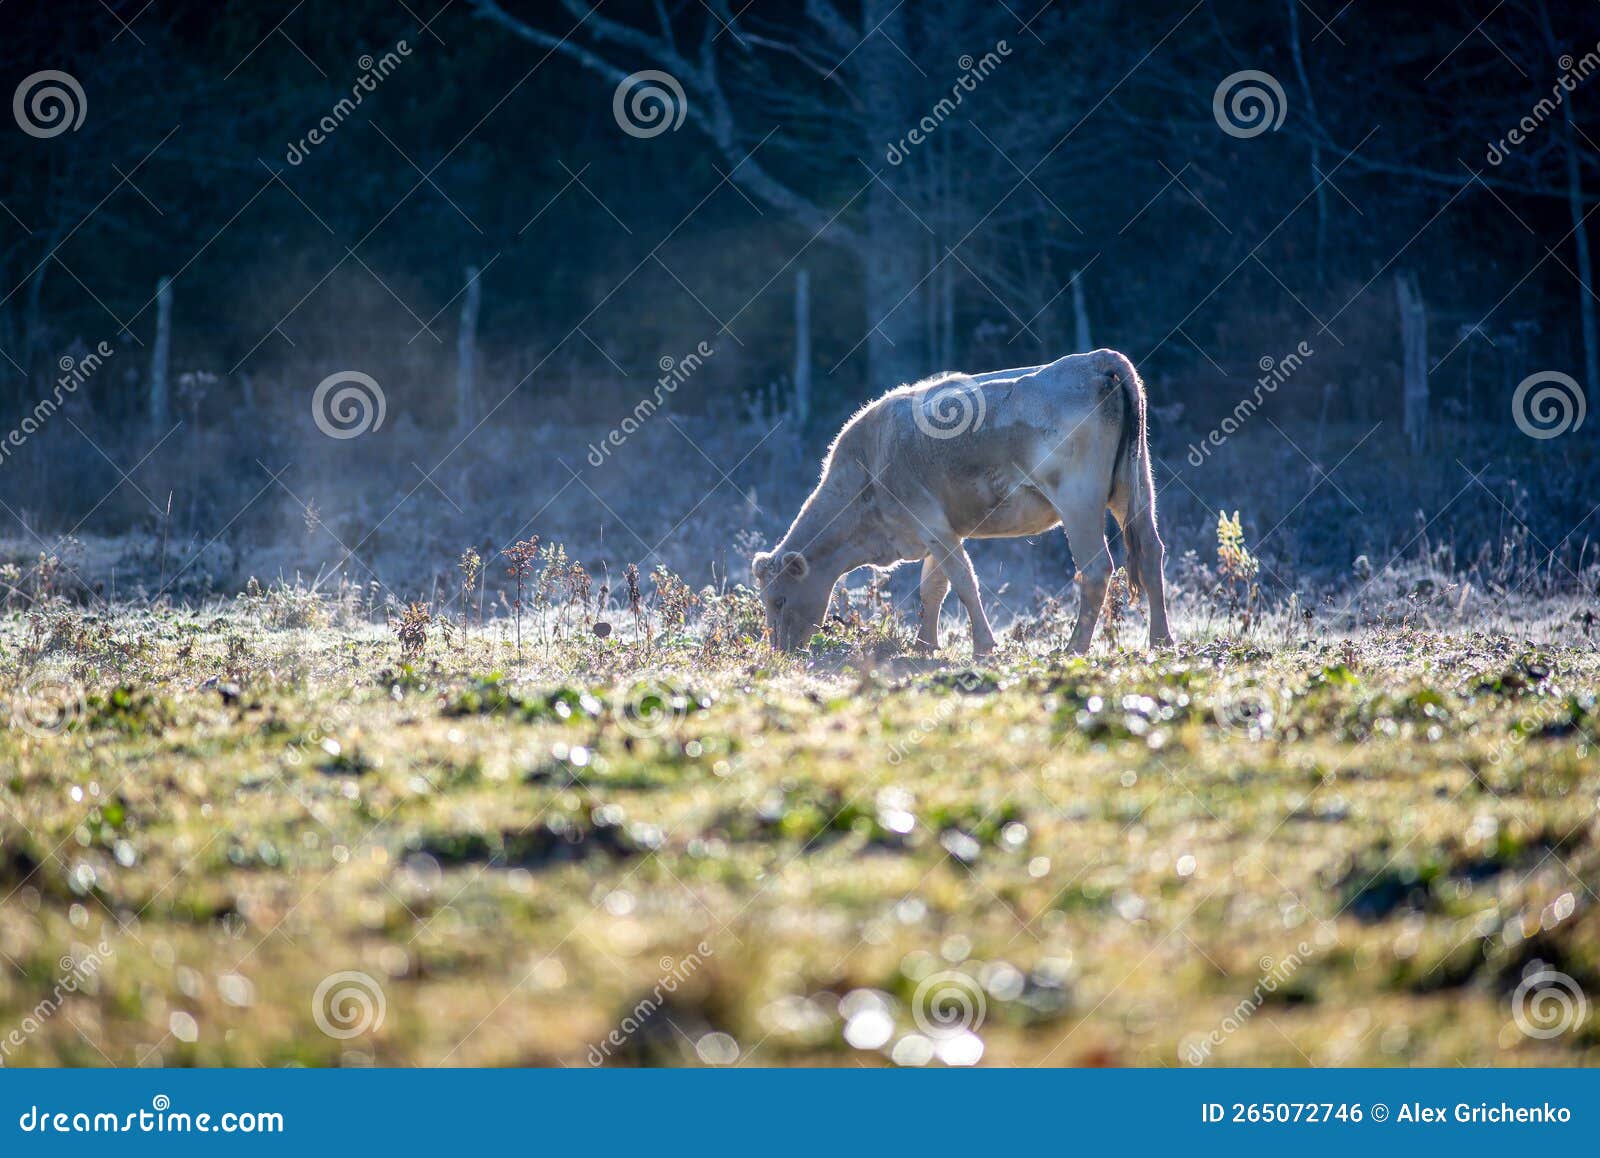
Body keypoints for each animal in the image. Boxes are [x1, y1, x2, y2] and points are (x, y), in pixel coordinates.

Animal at [752, 350, 1171, 657]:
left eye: (779, 600)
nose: (778, 652)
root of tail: (1095, 359)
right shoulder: (942, 531)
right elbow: (933, 589)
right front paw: (924, 646)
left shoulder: (932, 525)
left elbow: (963, 581)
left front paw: (983, 647)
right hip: (1136, 488)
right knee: (1151, 552)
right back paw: (1161, 642)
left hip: (1077, 500)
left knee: (1096, 569)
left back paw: (1073, 649)